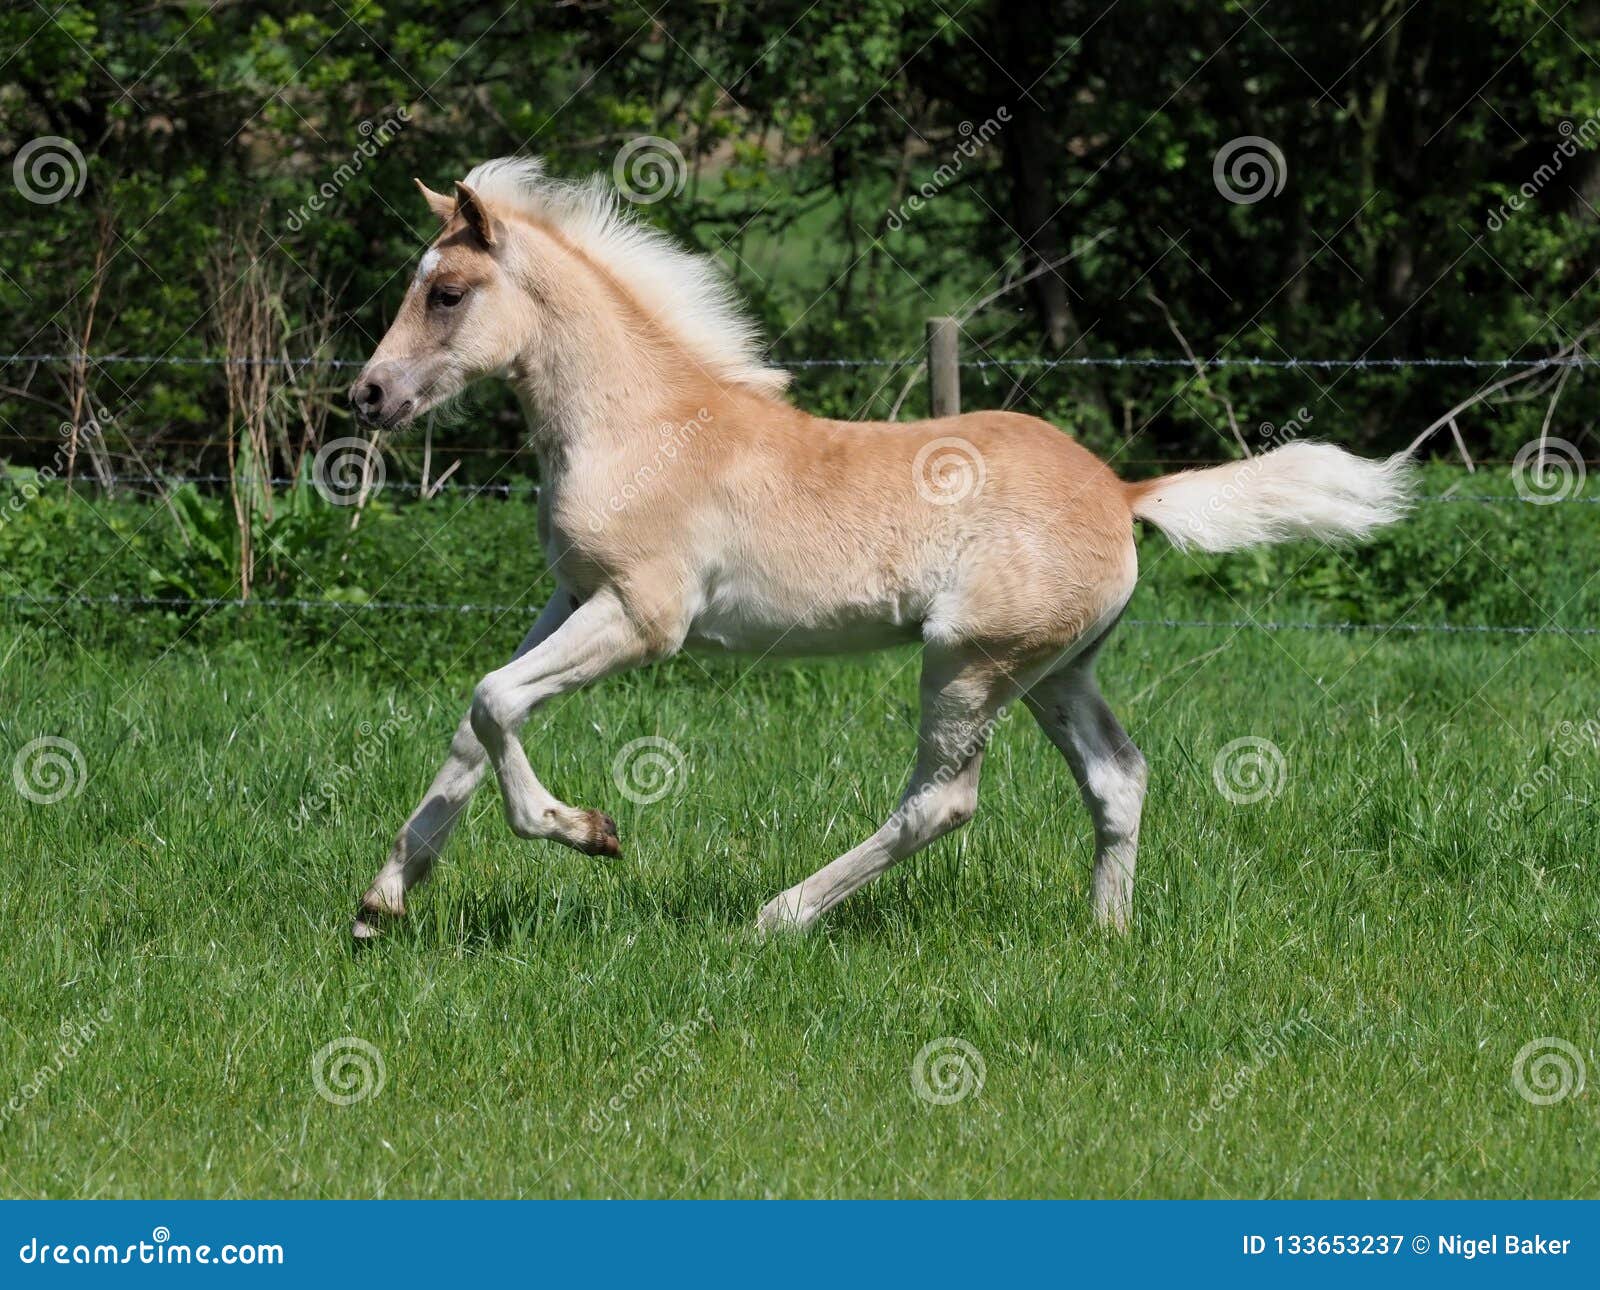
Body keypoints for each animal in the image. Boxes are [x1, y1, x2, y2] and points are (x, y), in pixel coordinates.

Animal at [347, 156, 1411, 942]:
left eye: (447, 293)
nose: (368, 396)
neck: (643, 427)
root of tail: (1122, 491)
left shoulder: (644, 618)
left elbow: (494, 700)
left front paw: (587, 832)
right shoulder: (571, 598)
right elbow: (475, 720)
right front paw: (383, 899)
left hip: (969, 663)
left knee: (943, 803)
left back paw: (775, 917)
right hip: (1056, 671)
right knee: (1118, 777)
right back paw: (1105, 934)